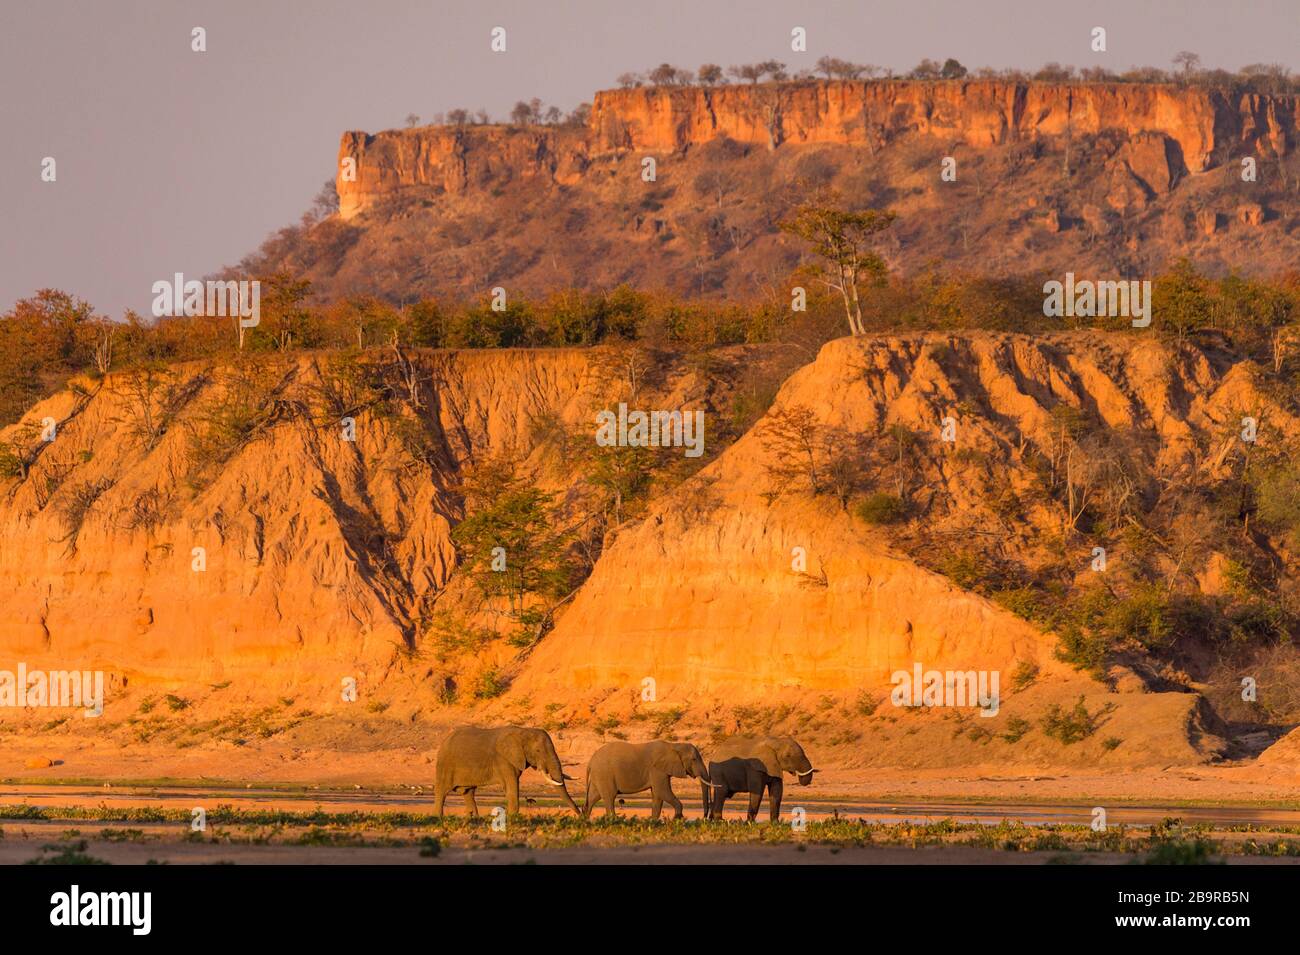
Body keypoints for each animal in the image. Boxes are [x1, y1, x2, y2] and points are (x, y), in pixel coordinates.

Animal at [434, 725, 580, 817]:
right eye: (538, 751)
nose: (581, 814)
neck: (523, 731)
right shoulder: (503, 760)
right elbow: (512, 787)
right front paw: (513, 816)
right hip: (444, 765)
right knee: (442, 791)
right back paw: (438, 817)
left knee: (468, 793)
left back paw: (474, 818)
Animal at [583, 740, 711, 820]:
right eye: (694, 759)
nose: (705, 817)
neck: (674, 745)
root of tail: (590, 762)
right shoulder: (657, 770)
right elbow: (662, 792)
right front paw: (677, 818)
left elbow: (658, 796)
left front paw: (653, 821)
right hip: (604, 774)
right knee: (609, 797)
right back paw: (614, 820)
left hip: (599, 776)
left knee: (593, 797)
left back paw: (584, 820)